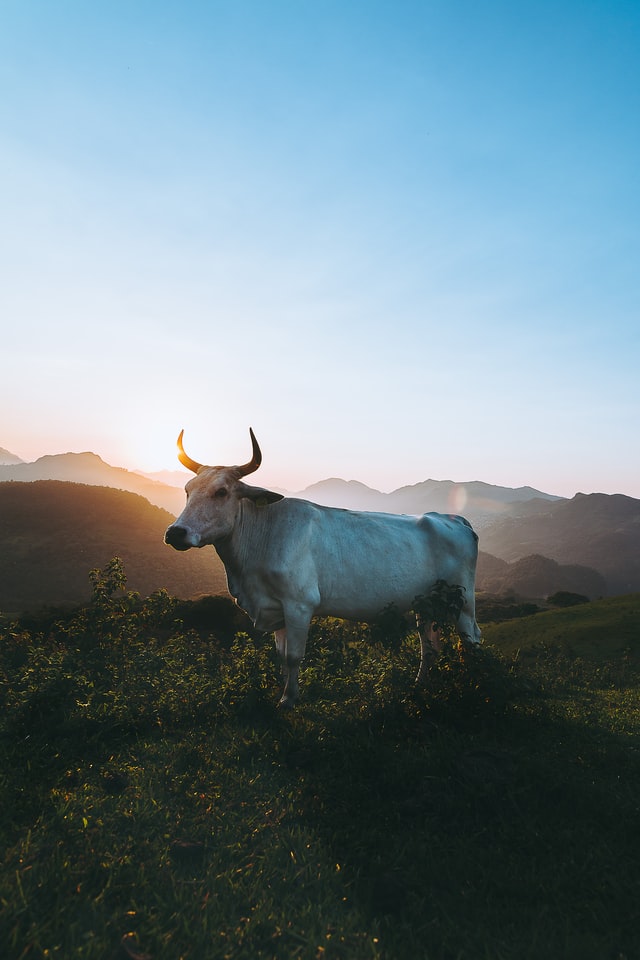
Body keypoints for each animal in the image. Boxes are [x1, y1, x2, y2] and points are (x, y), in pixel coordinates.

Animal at [164, 429, 481, 707]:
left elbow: (293, 656)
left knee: (471, 640)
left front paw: (289, 700)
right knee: (429, 646)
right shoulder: (275, 608)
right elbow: (281, 657)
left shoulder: (299, 604)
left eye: (221, 492)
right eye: (188, 490)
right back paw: (420, 685)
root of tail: (451, 518)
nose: (175, 532)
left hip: (463, 601)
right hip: (426, 603)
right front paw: (284, 692)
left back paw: (474, 686)